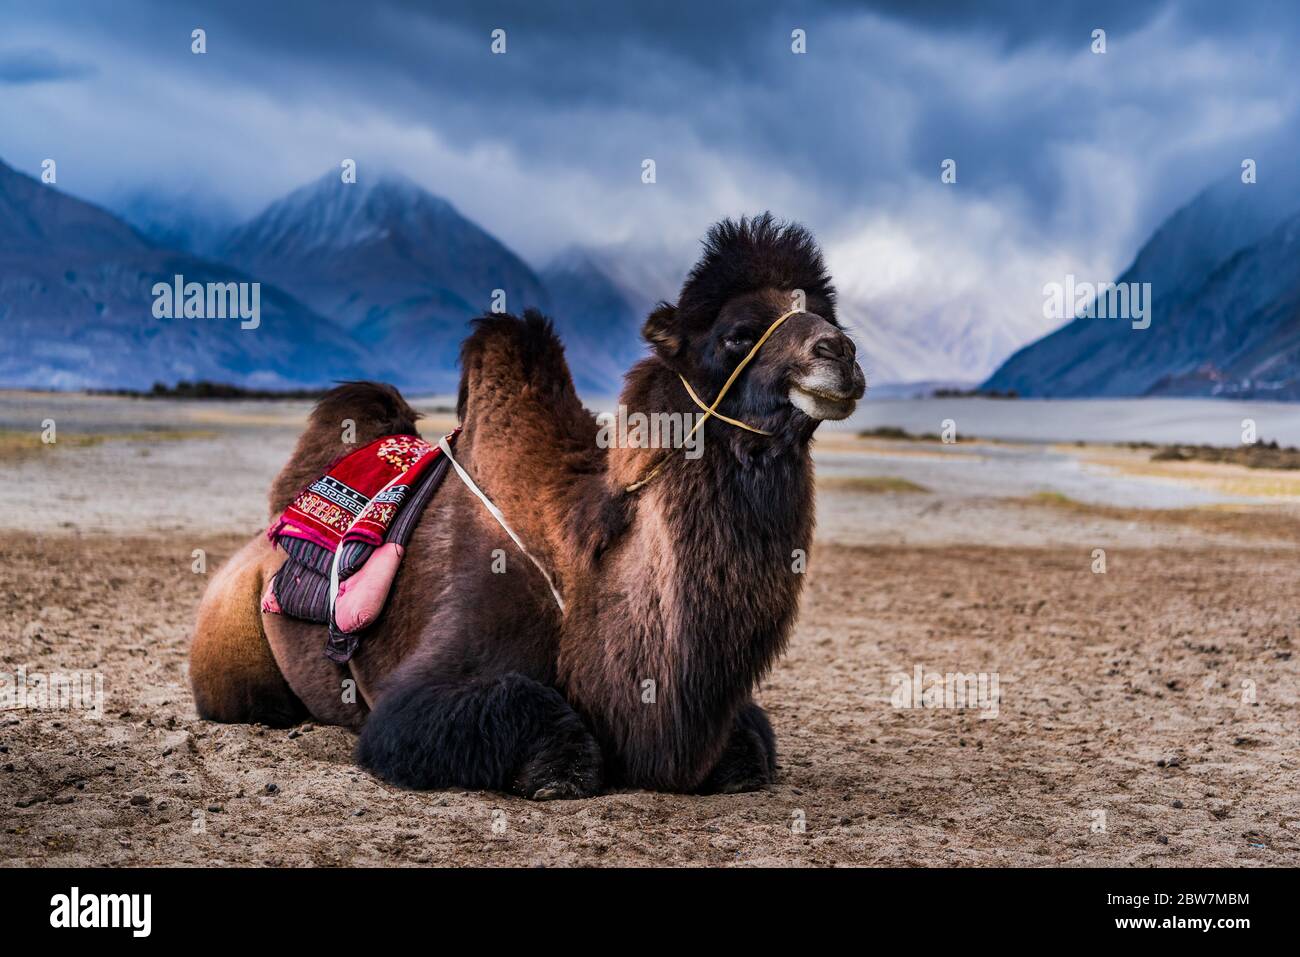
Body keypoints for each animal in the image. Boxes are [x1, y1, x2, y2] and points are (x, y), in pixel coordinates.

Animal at [189, 214, 865, 797]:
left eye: (821, 314)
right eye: (737, 335)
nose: (840, 351)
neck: (580, 561)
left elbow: (753, 743)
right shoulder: (417, 692)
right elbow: (548, 732)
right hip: (227, 652)